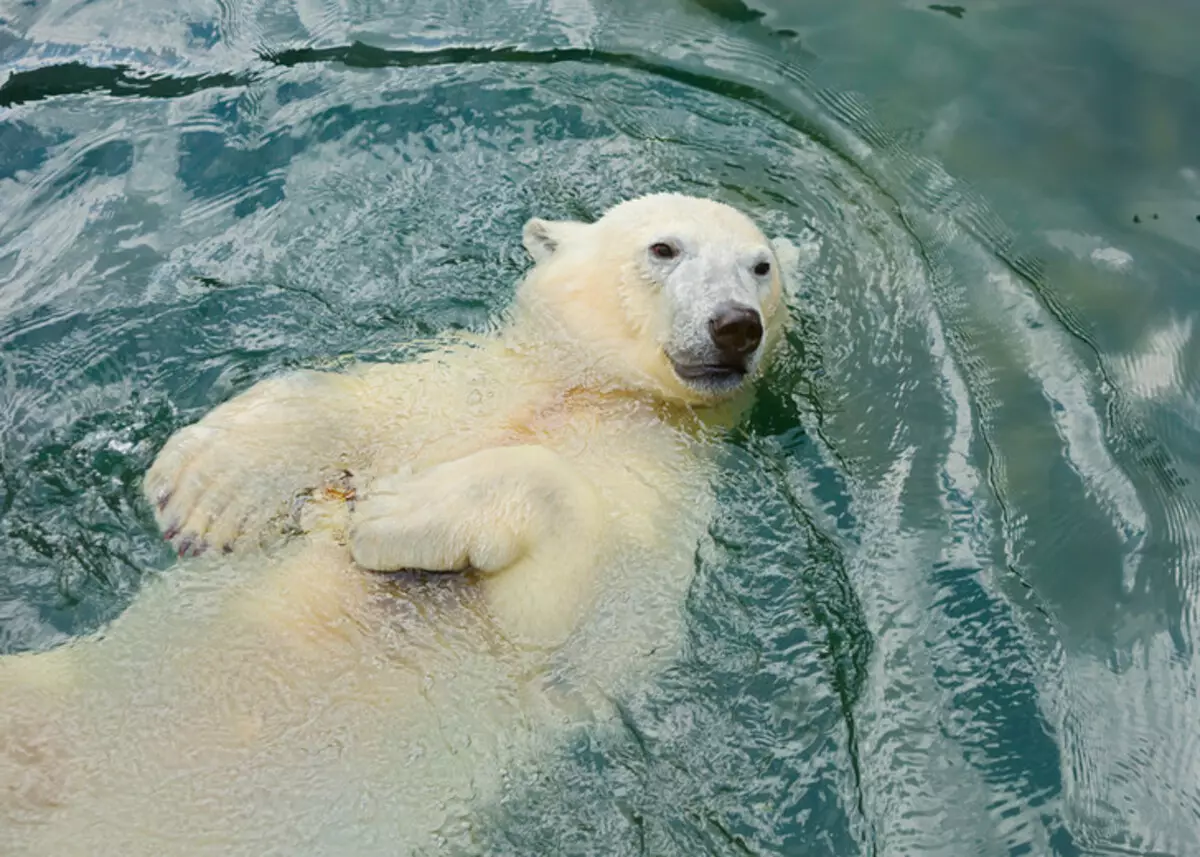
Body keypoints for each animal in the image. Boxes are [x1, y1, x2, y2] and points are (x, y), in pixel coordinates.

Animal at [2, 193, 796, 854]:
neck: (594, 396)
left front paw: (396, 511)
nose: (735, 325)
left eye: (760, 266)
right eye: (664, 248)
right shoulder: (447, 387)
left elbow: (555, 613)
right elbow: (342, 397)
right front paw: (208, 485)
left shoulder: (659, 522)